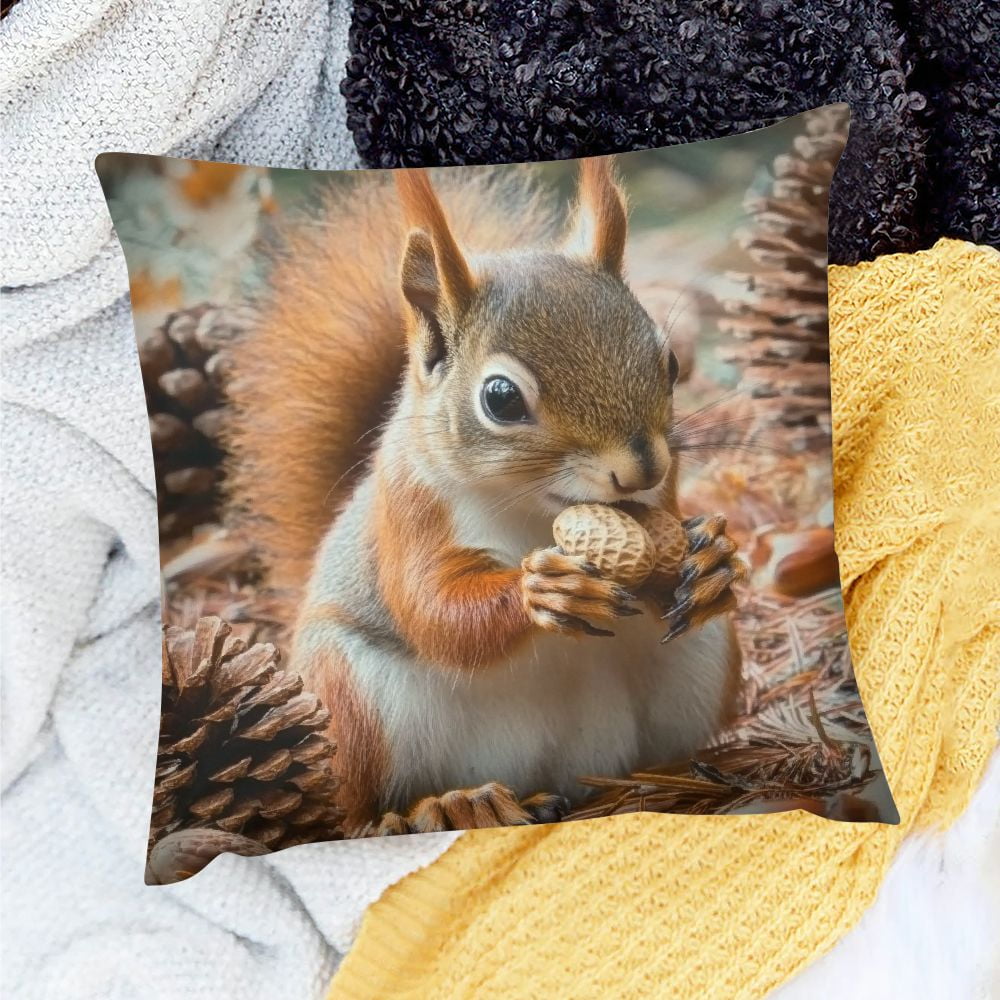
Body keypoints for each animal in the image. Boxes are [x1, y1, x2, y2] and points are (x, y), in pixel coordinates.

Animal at [224, 158, 746, 835]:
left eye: (671, 362)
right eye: (500, 398)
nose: (641, 468)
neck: (535, 512)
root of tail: (553, 778)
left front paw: (711, 561)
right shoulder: (410, 507)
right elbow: (434, 608)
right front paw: (540, 590)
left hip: (701, 663)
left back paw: (677, 776)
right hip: (353, 699)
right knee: (358, 809)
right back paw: (448, 805)